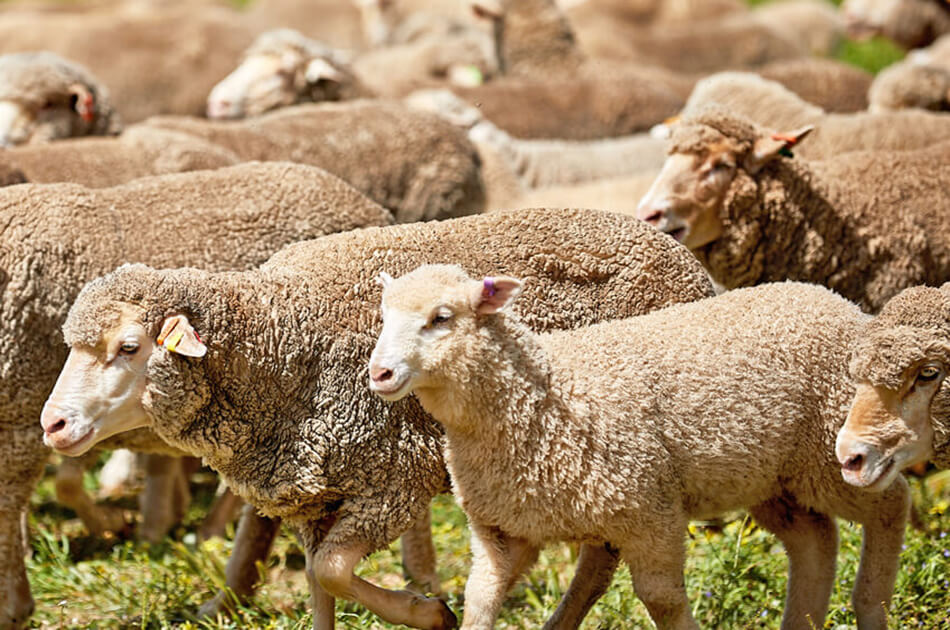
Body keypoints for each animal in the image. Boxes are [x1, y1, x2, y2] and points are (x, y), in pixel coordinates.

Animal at [40, 207, 716, 630]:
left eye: (130, 347)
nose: (52, 426)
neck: (280, 342)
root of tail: (684, 260)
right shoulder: (313, 498)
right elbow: (319, 586)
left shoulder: (390, 479)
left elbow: (335, 571)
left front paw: (429, 612)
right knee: (600, 556)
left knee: (603, 558)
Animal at [369, 267, 910, 630]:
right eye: (384, 317)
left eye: (441, 317)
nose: (379, 373)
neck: (543, 392)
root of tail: (836, 300)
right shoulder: (502, 528)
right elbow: (480, 598)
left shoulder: (649, 512)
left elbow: (661, 599)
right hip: (770, 476)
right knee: (814, 540)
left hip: (832, 452)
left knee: (891, 503)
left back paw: (871, 606)